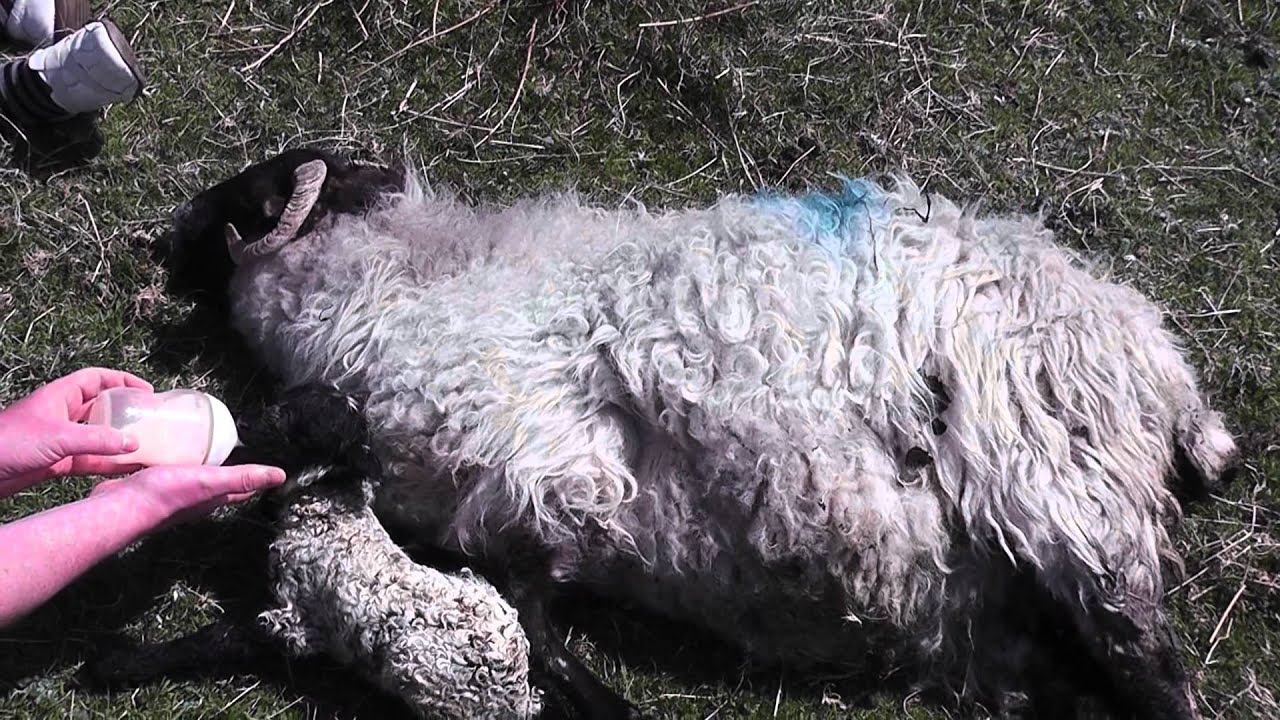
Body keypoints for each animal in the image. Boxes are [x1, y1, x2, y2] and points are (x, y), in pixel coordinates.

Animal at [162, 146, 1239, 719]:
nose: (168, 231)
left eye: (248, 191)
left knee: (1153, 671)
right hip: (1012, 601)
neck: (406, 279)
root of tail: (1154, 360)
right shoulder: (522, 509)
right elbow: (533, 618)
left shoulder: (526, 469)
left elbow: (534, 616)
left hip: (1057, 484)